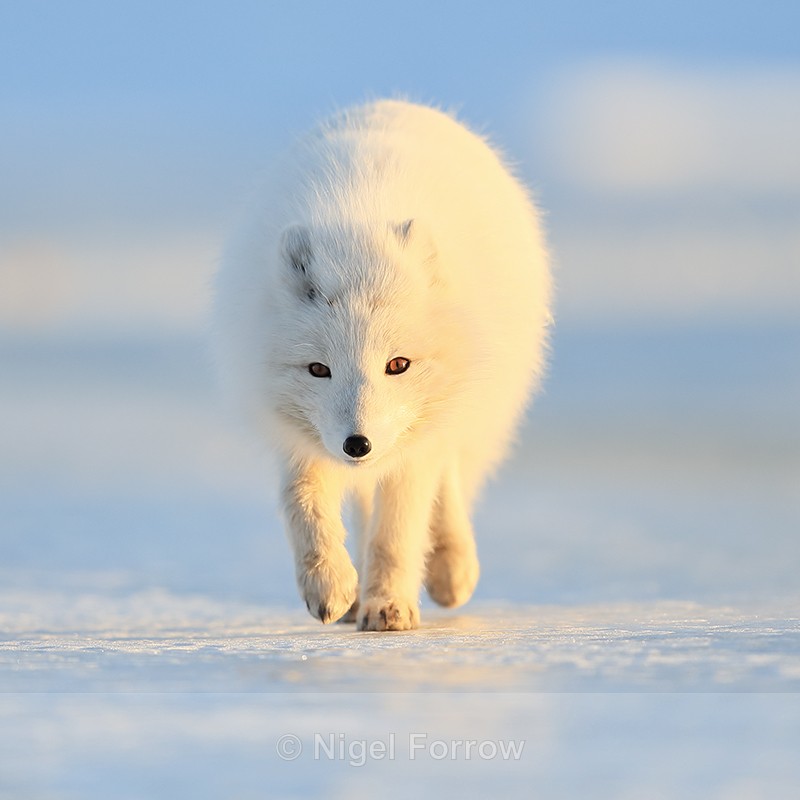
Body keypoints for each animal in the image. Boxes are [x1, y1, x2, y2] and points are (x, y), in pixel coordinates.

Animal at [212, 99, 552, 630]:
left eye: (398, 364)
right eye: (318, 370)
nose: (358, 444)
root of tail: (393, 101)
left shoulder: (415, 445)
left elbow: (398, 529)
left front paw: (389, 603)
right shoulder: (294, 432)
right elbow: (303, 502)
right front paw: (329, 585)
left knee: (443, 479)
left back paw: (449, 568)